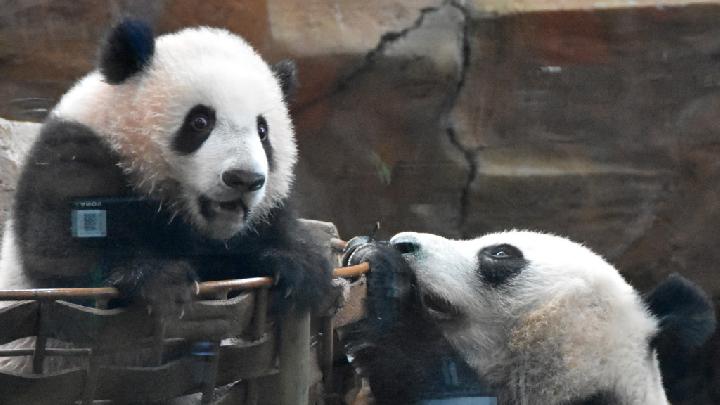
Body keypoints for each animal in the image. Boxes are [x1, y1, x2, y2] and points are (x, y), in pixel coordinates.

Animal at [0, 20, 335, 327]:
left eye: (262, 131)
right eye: (200, 121)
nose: (243, 179)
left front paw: (300, 268)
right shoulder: (72, 158)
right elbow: (61, 259)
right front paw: (160, 281)